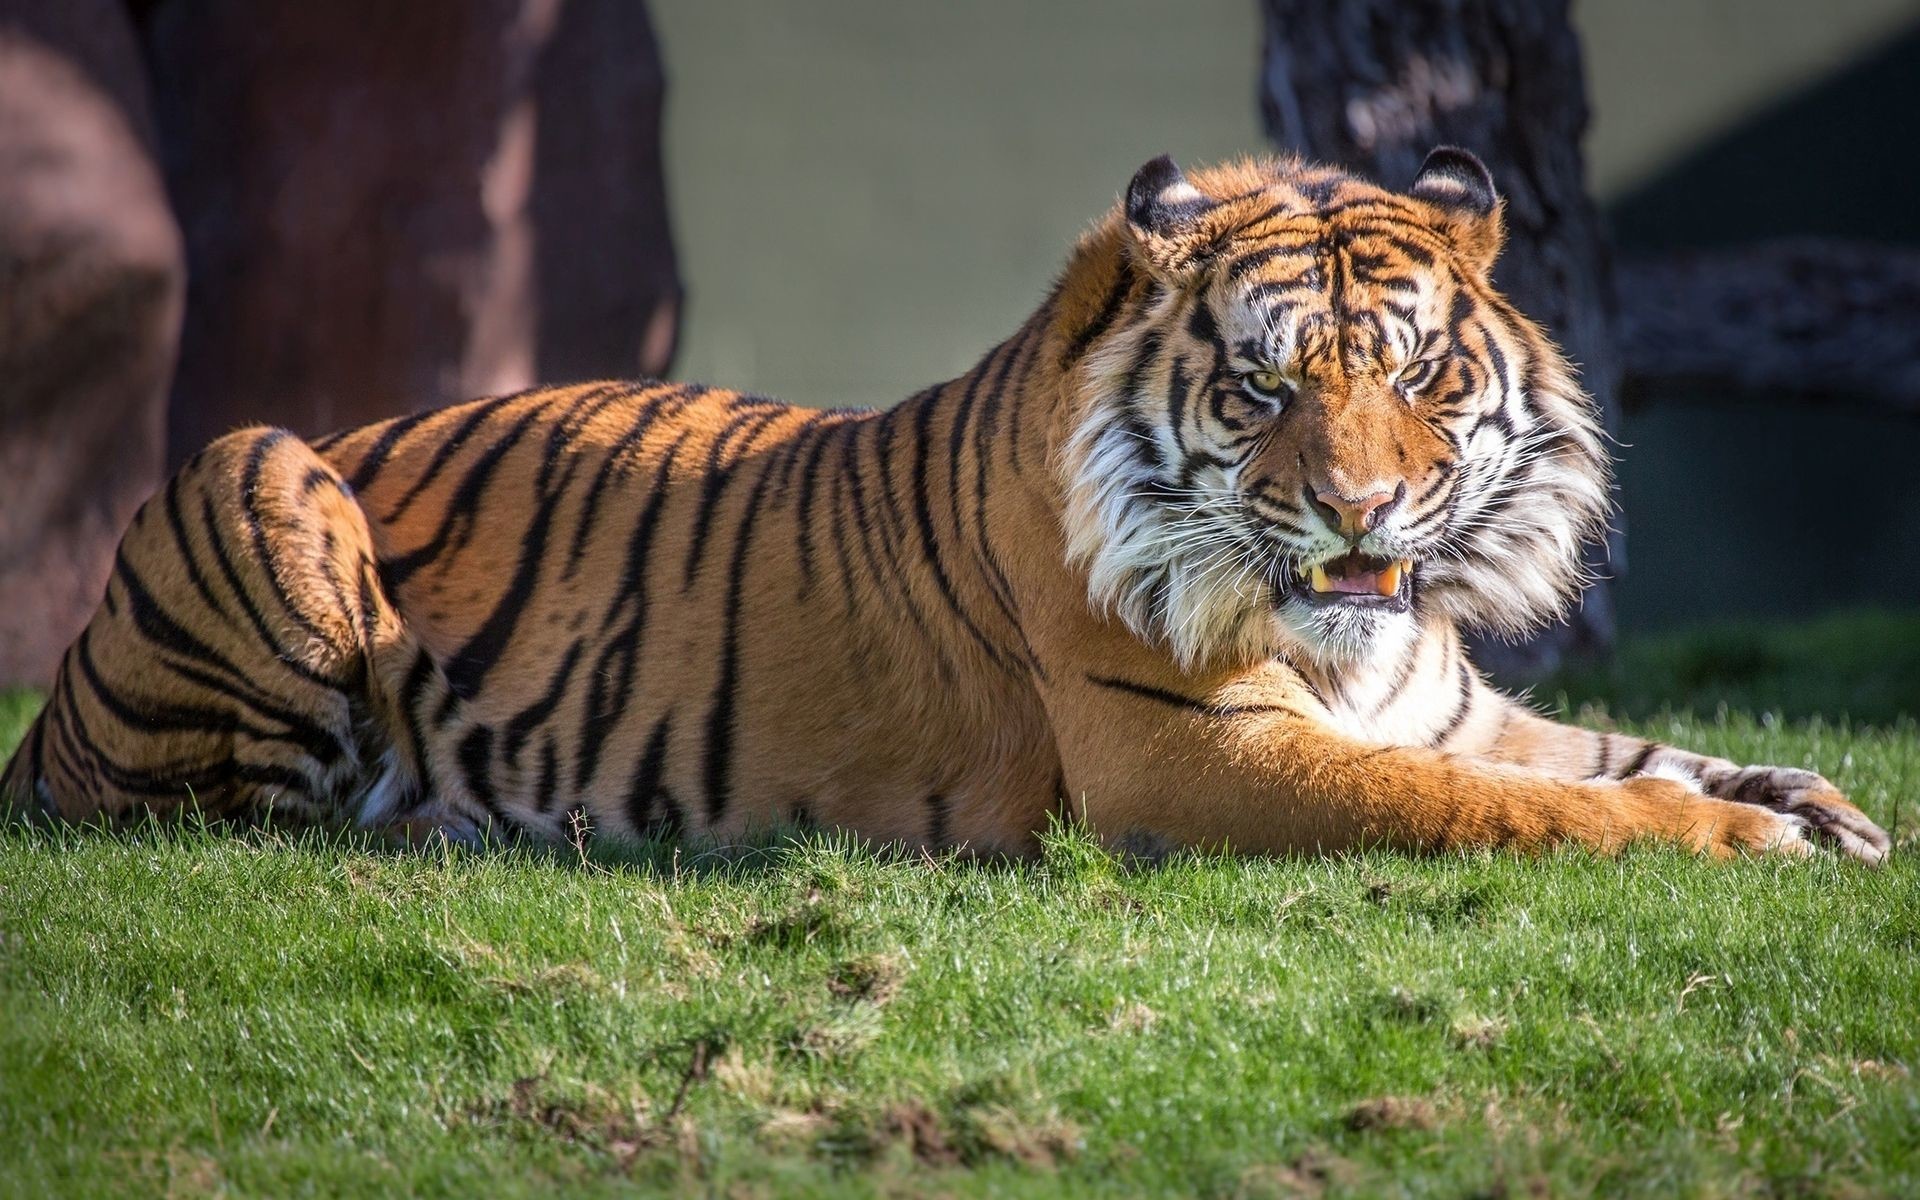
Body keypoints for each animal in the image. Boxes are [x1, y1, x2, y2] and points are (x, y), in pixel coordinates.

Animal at [1, 147, 1890, 865]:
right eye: (1264, 387)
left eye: (1420, 378)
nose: (1361, 514)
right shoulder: (1188, 758)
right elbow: (1500, 809)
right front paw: (1742, 840)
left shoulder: (1448, 699)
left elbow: (1619, 751)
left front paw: (1818, 801)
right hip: (261, 465)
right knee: (241, 816)